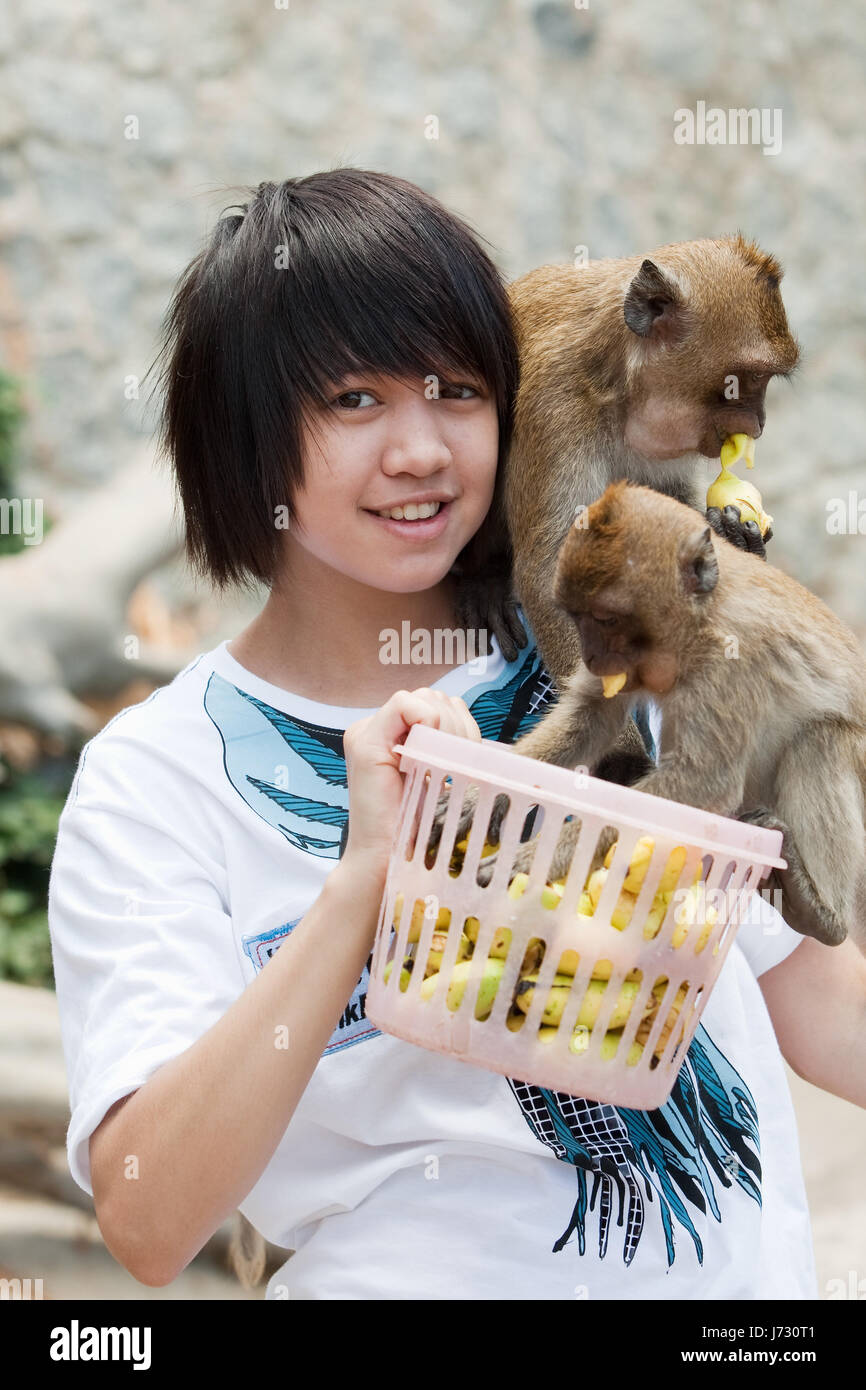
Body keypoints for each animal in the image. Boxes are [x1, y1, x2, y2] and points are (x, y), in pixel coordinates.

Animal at [460, 480, 866, 953]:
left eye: (606, 618)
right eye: (577, 617)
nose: (591, 655)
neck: (700, 618)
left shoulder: (731, 658)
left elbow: (704, 781)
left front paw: (535, 860)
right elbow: (591, 720)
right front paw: (475, 792)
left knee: (822, 741)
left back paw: (820, 914)